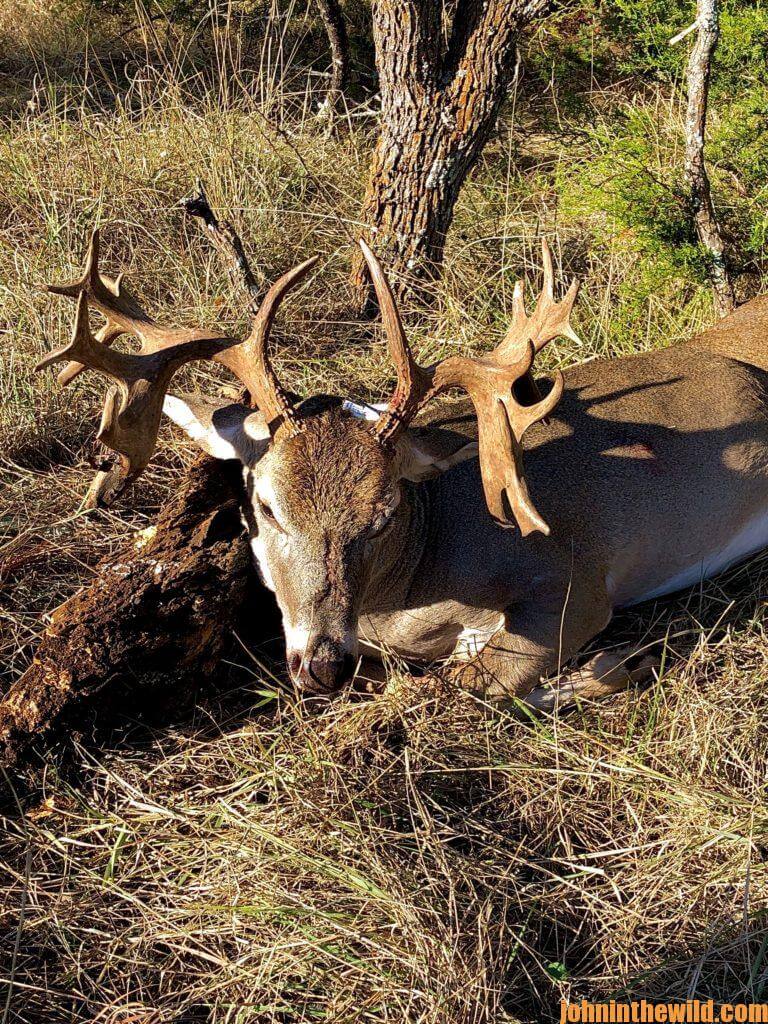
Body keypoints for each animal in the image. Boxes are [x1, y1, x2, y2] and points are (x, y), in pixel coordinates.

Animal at [36, 228, 768, 710]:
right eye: (266, 507)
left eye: (384, 514)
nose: (323, 667)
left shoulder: (574, 577)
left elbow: (463, 688)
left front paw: (609, 665)